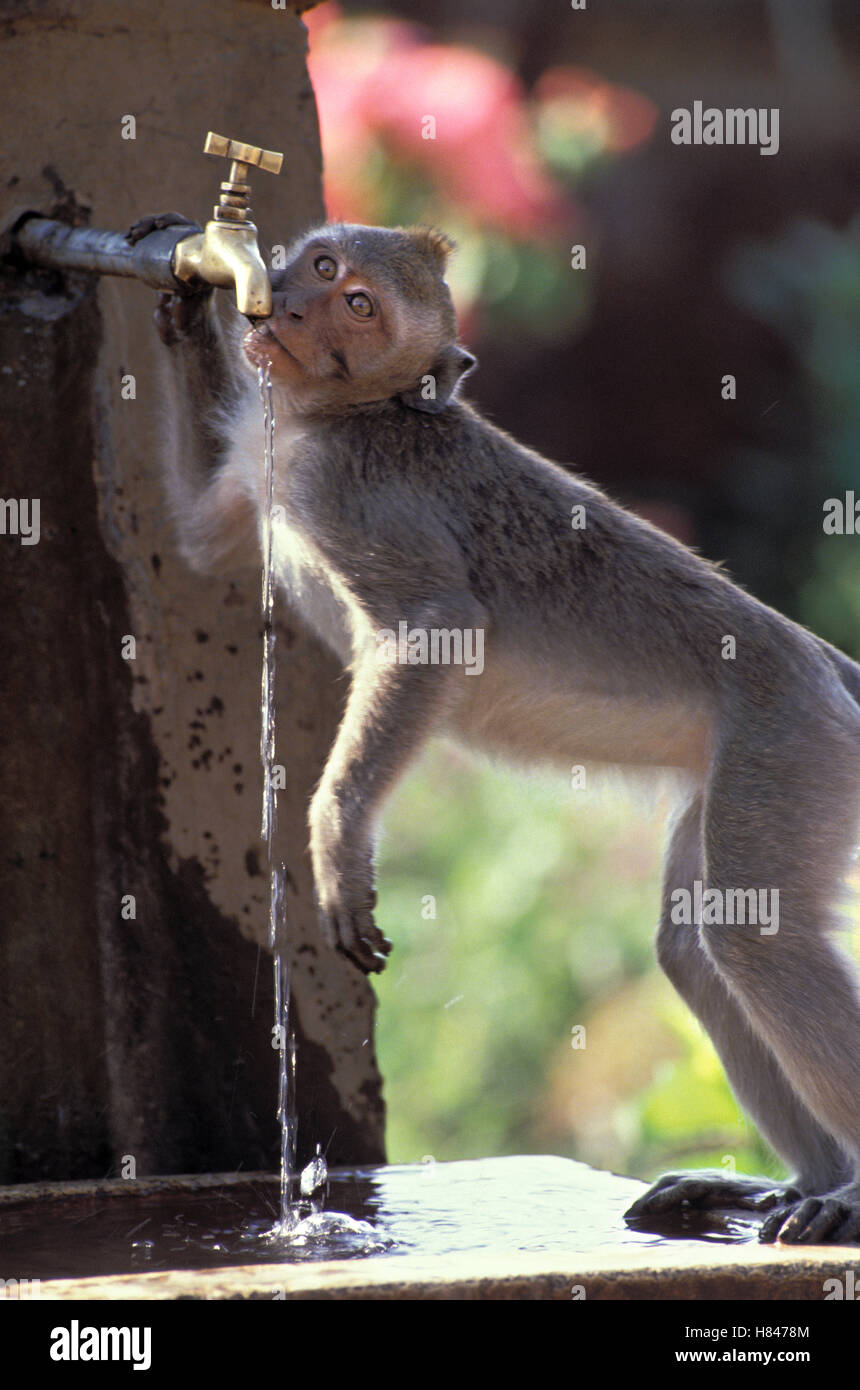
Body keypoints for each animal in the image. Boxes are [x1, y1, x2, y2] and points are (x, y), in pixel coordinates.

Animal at [129, 213, 860, 1246]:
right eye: (320, 266)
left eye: (359, 306)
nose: (293, 309)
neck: (343, 415)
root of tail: (827, 663)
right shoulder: (254, 459)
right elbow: (198, 535)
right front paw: (186, 305)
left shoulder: (345, 491)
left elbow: (437, 630)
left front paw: (337, 843)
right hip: (763, 760)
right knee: (698, 942)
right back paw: (795, 1183)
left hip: (791, 737)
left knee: (758, 939)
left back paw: (847, 1191)